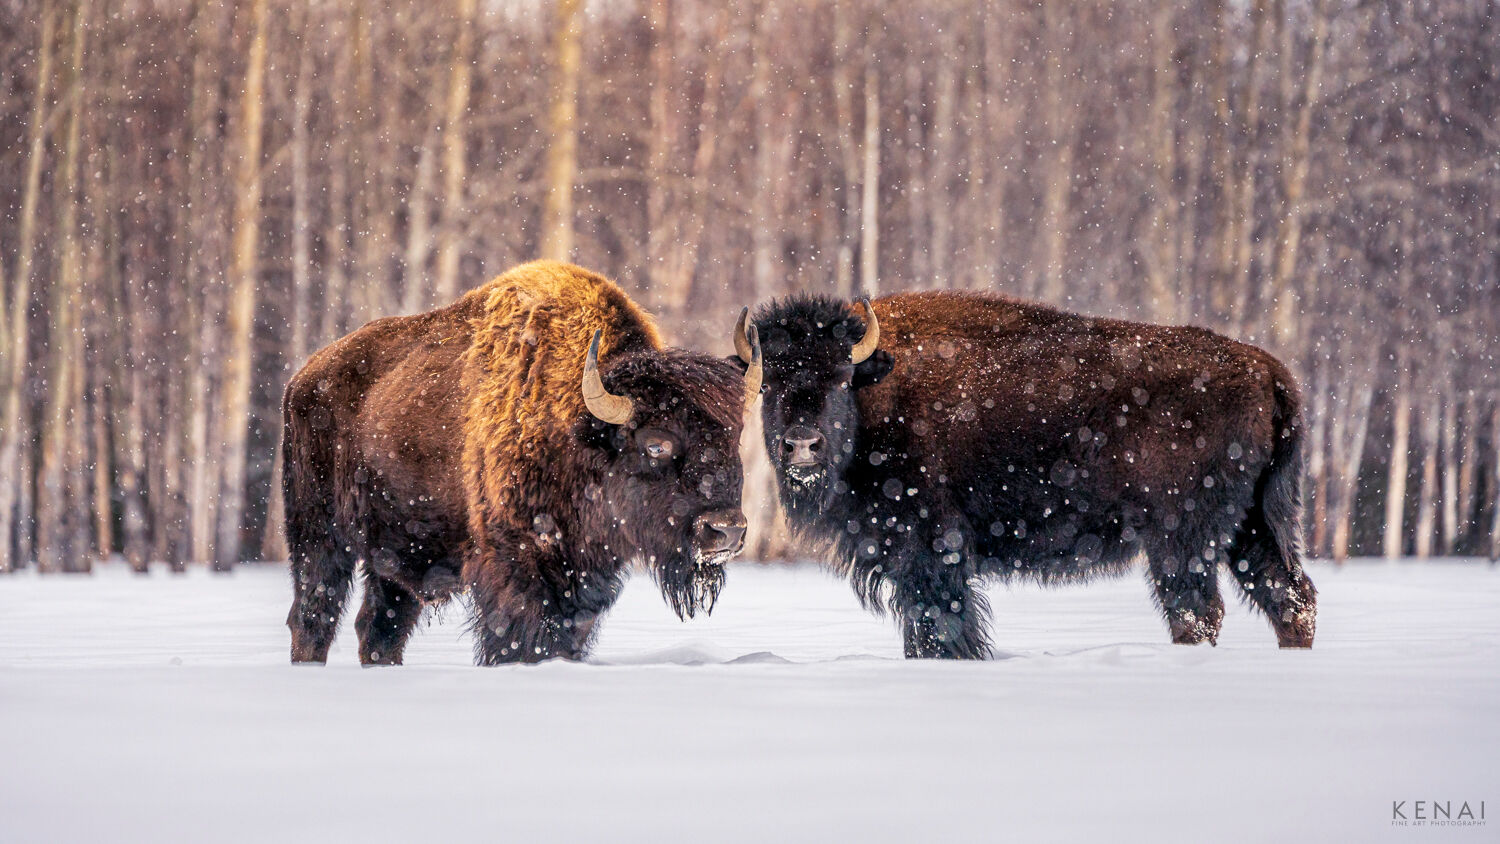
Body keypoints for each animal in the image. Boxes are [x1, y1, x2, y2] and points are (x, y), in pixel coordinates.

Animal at [283, 261, 759, 665]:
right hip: (318, 534)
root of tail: (304, 376)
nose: (726, 530)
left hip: (394, 555)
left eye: (733, 436)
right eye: (656, 444)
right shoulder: (515, 564)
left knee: (380, 626)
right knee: (314, 613)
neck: (576, 427)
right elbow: (519, 639)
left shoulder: (583, 579)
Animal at [742, 291, 1316, 658]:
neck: (877, 387)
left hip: (1182, 535)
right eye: (768, 386)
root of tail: (1266, 369)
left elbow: (939, 621)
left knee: (1197, 608)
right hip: (1252, 525)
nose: (801, 445)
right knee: (1288, 595)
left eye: (839, 377)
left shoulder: (928, 545)